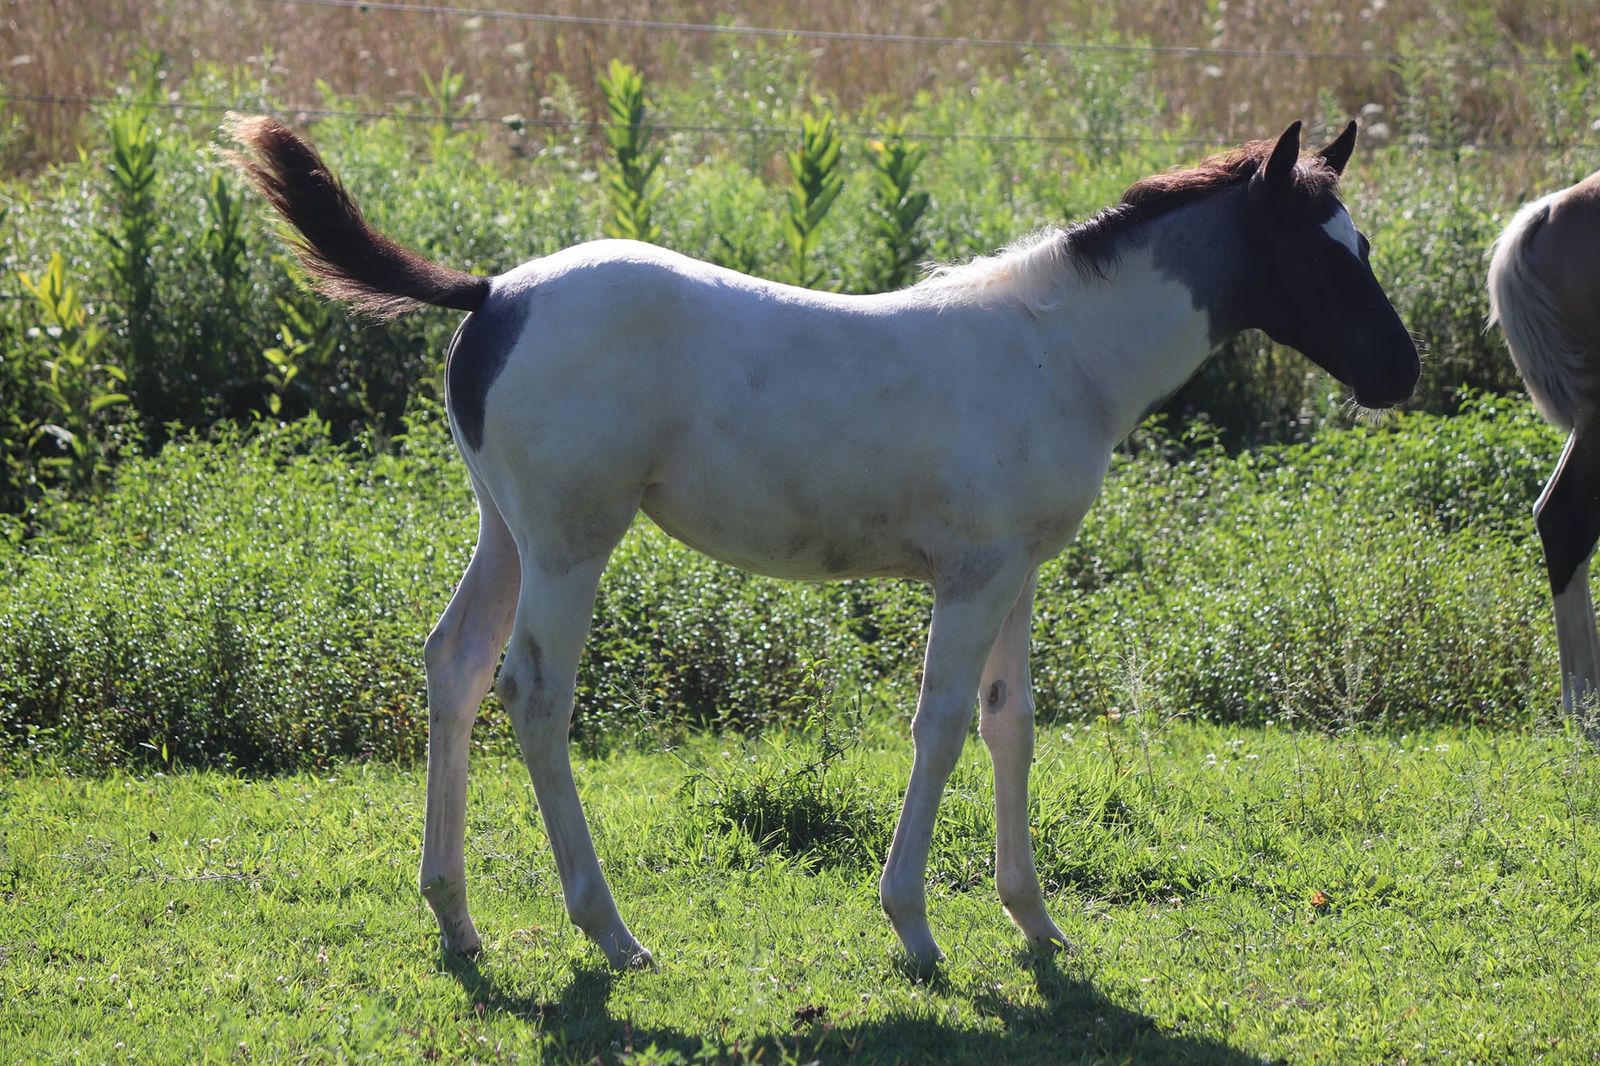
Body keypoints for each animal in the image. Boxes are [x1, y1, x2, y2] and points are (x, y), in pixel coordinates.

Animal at [226, 114, 1419, 968]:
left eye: (1360, 245)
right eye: (1318, 258)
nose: (1399, 373)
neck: (1058, 354)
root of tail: (492, 292)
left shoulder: (1019, 576)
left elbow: (1011, 725)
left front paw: (1036, 923)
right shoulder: (973, 577)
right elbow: (940, 727)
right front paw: (916, 929)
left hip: (506, 531)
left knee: (456, 665)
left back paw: (457, 918)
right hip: (571, 543)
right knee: (535, 695)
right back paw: (609, 931)